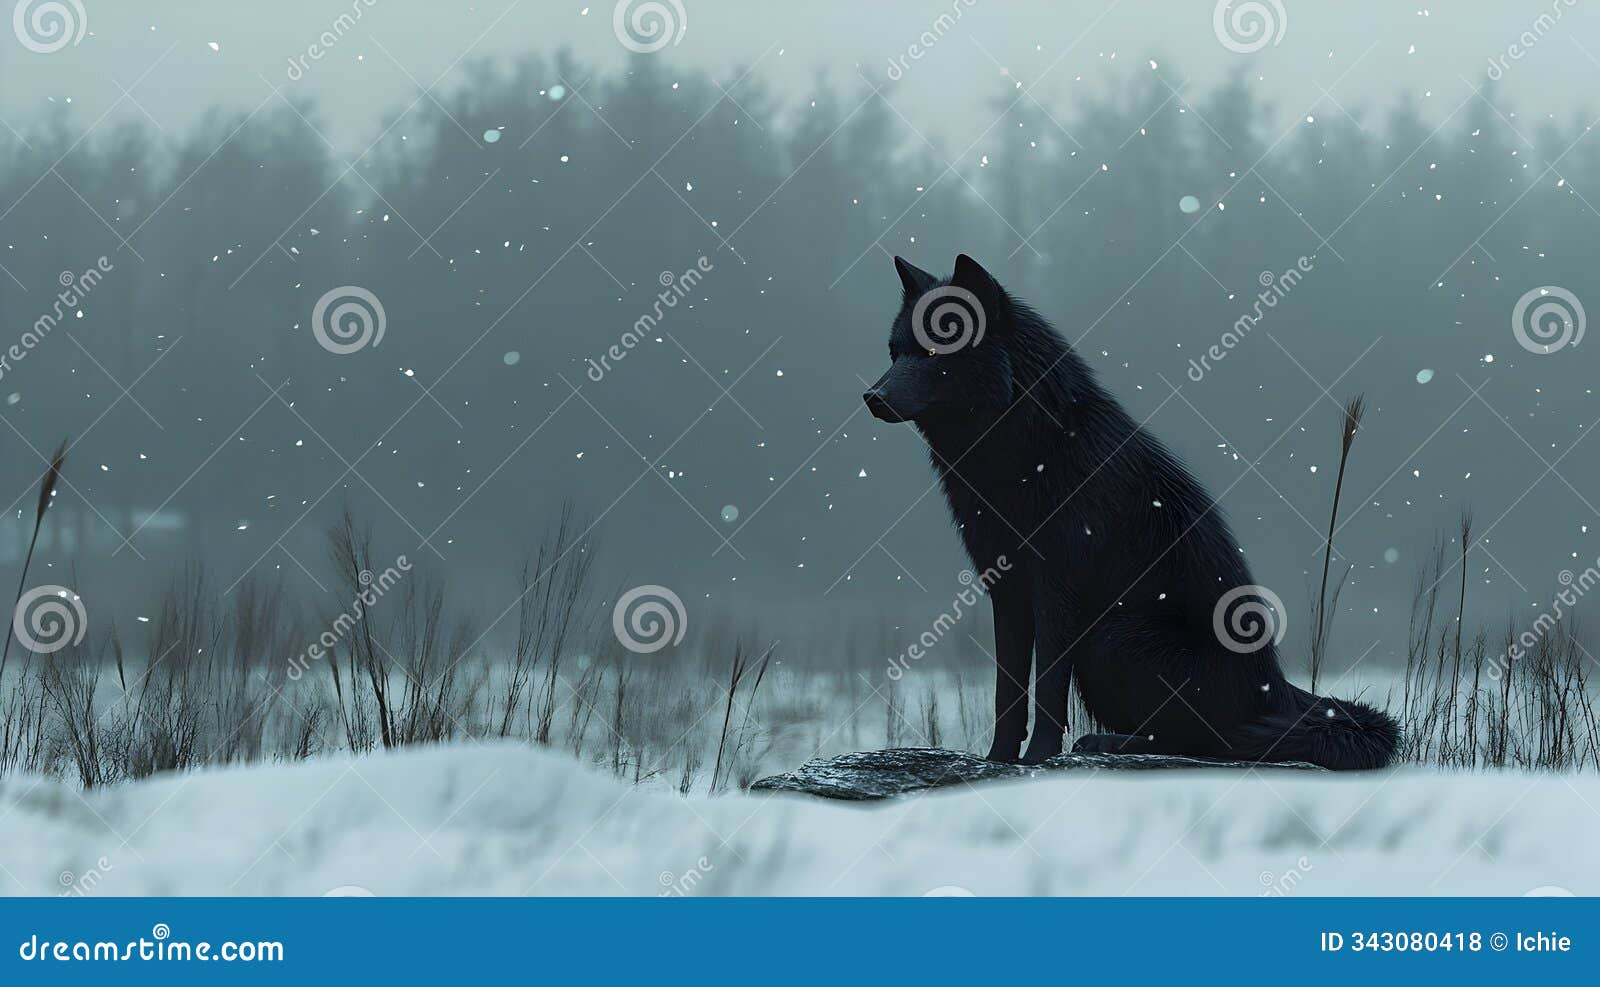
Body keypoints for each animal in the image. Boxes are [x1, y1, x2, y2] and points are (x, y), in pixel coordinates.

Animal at [863, 254, 1399, 769]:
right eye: (894, 351)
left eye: (935, 352)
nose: (872, 397)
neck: (1024, 450)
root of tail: (1281, 695)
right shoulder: (1006, 590)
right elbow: (1006, 693)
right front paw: (997, 760)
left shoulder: (1057, 590)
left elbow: (1048, 690)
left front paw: (1038, 758)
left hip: (1109, 636)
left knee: (1211, 744)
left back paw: (1103, 742)